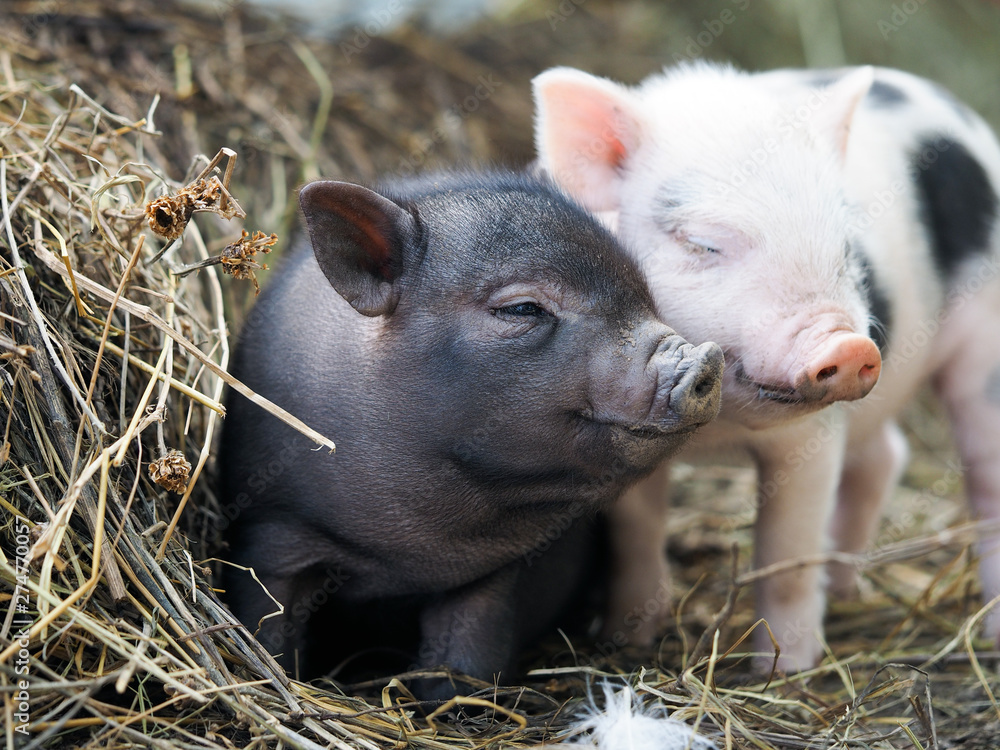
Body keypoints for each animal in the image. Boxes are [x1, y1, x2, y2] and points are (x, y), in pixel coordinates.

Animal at [219, 171, 724, 695]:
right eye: (522, 309)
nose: (707, 357)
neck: (404, 559)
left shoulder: (496, 574)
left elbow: (467, 657)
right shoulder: (273, 532)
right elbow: (268, 625)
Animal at [532, 62, 1000, 672]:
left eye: (845, 249)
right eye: (703, 244)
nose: (848, 346)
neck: (717, 434)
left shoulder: (813, 436)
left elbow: (787, 557)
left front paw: (786, 671)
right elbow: (635, 537)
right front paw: (625, 641)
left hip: (985, 343)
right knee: (886, 457)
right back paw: (846, 591)